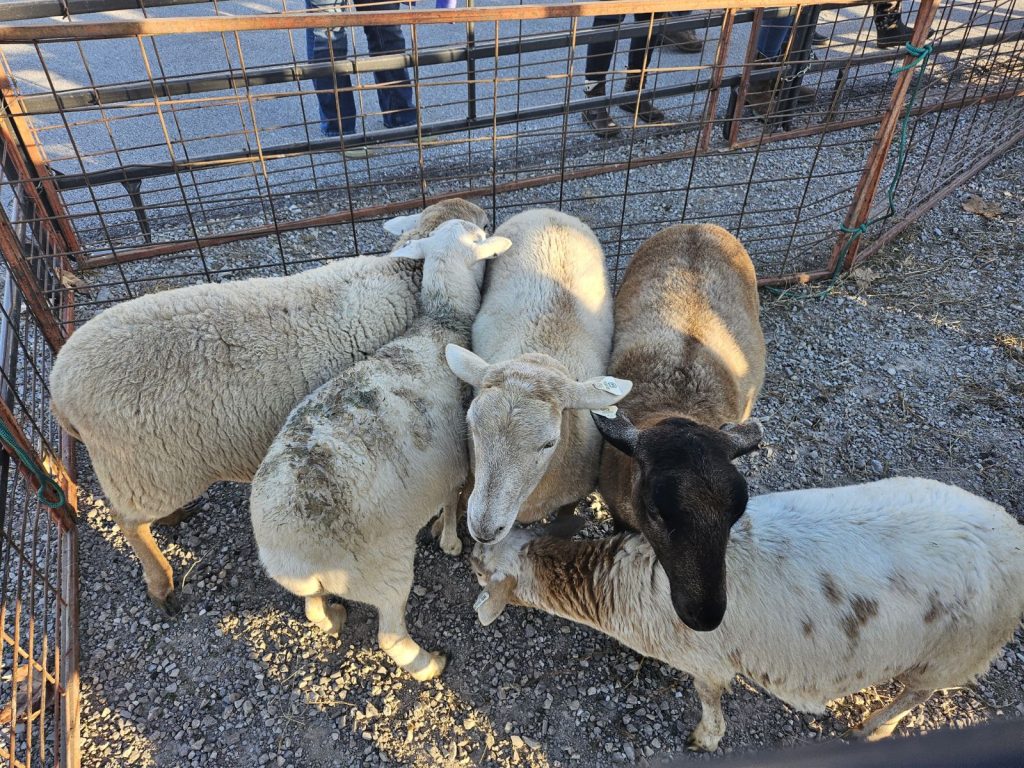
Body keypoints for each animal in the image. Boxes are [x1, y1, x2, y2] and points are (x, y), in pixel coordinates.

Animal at [49, 198, 487, 616]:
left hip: (149, 474)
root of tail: (58, 390)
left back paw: (172, 520)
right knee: (127, 523)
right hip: (141, 470)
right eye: (482, 228)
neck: (406, 278)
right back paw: (162, 584)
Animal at [250, 219, 511, 680]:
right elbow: (452, 499)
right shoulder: (454, 462)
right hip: (382, 569)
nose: (488, 227)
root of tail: (291, 554)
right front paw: (449, 540)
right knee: (391, 636)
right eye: (480, 239)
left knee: (312, 608)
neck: (440, 322)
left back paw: (332, 617)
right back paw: (430, 664)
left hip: (316, 582)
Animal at [471, 477, 1024, 751]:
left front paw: (705, 739)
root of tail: (1014, 539)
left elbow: (709, 696)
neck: (615, 581)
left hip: (954, 652)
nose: (469, 553)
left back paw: (872, 728)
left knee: (917, 694)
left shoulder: (705, 660)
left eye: (480, 571)